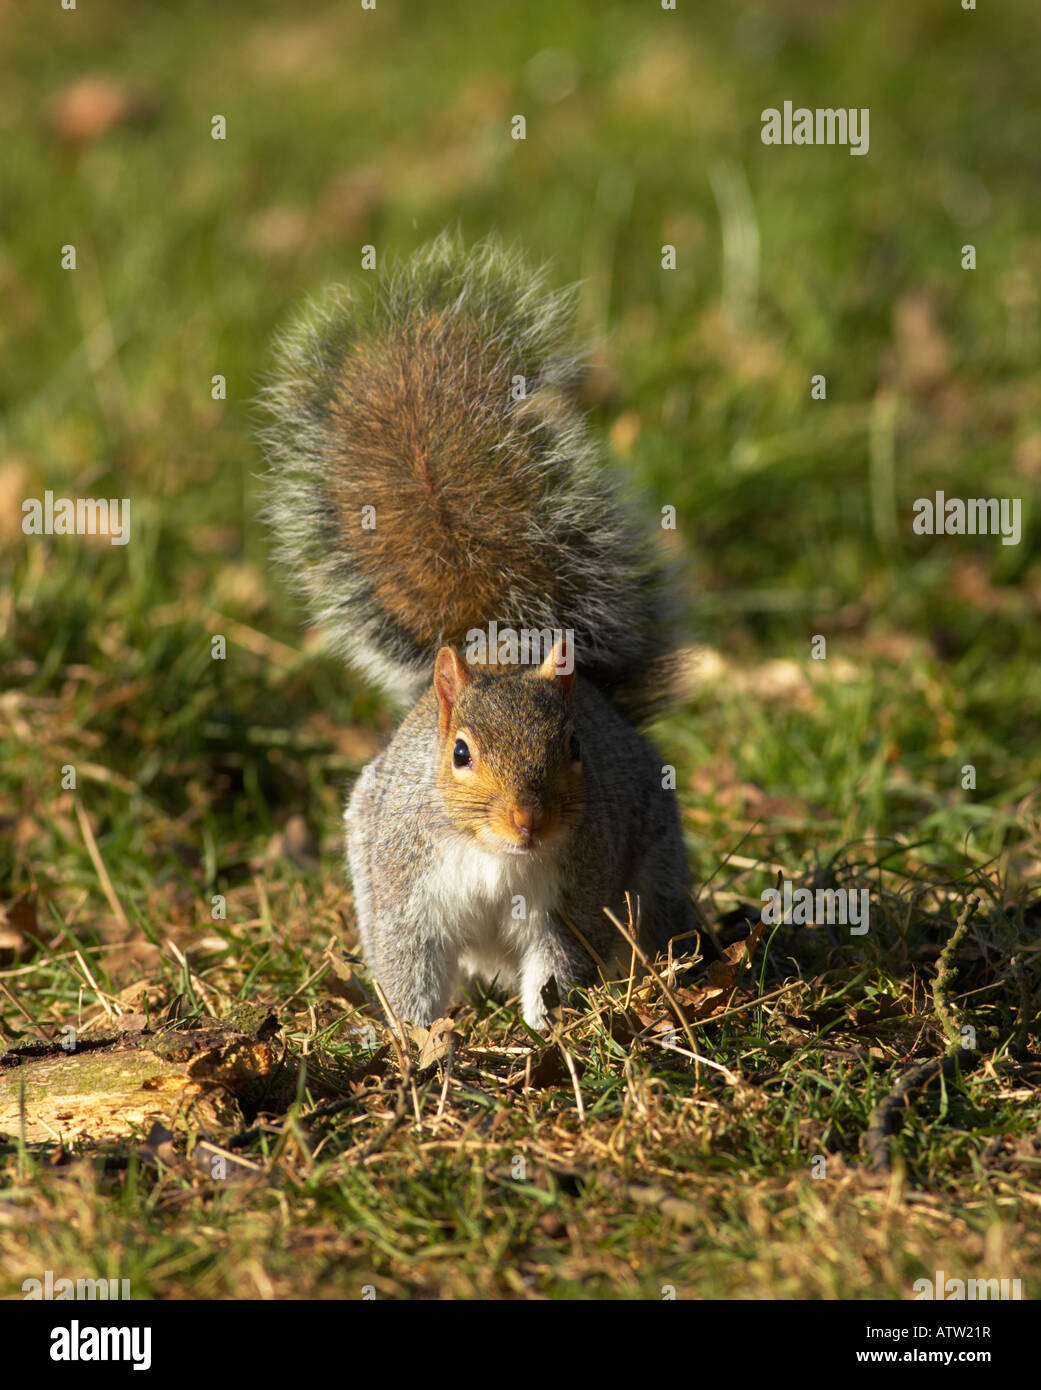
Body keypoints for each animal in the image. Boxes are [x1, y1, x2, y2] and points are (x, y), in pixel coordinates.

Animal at [261, 231, 697, 1030]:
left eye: (574, 747)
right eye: (460, 753)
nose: (528, 822)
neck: (495, 856)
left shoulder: (573, 898)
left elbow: (561, 963)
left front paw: (548, 1031)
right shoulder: (404, 890)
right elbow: (408, 965)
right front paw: (418, 1040)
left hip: (655, 867)